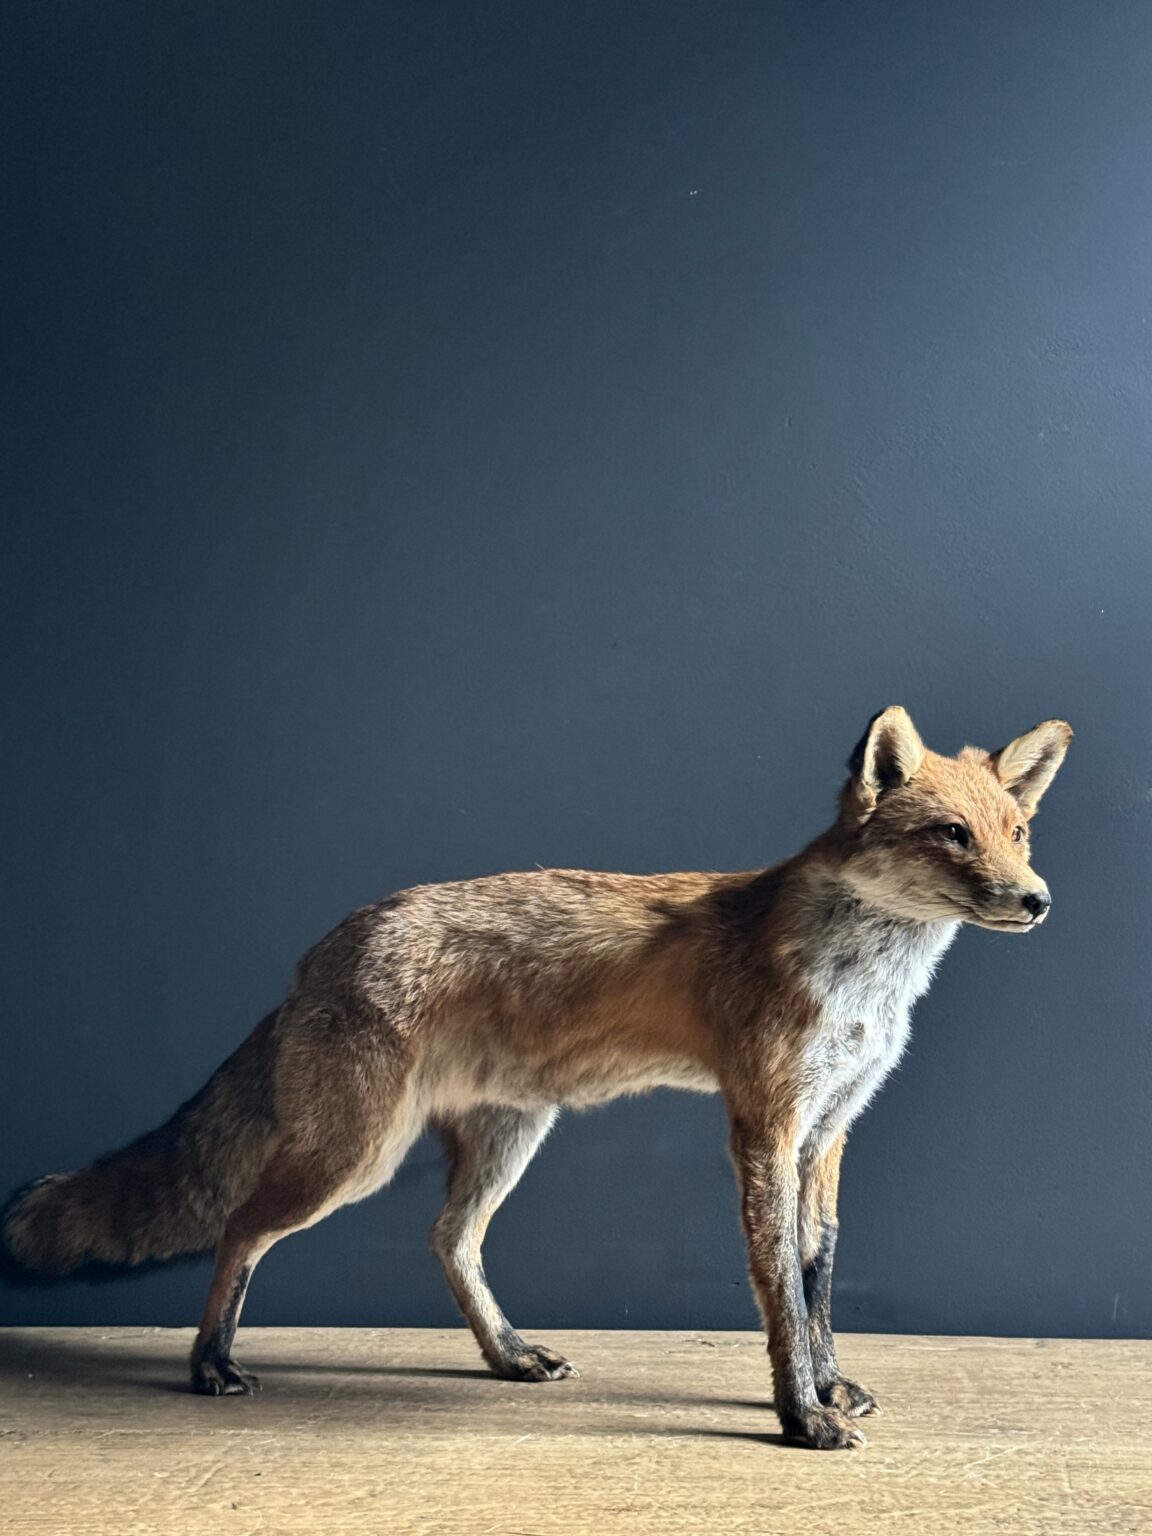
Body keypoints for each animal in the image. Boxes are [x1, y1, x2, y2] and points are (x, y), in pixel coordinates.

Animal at [1, 706, 1071, 1449]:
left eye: (1017, 832)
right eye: (951, 835)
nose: (1037, 901)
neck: (866, 987)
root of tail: (321, 953)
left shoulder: (830, 1131)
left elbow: (820, 1275)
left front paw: (830, 1382)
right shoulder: (762, 1124)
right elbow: (776, 1289)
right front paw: (800, 1416)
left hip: (508, 1137)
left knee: (448, 1239)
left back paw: (507, 1353)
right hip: (353, 1155)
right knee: (238, 1231)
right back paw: (210, 1363)